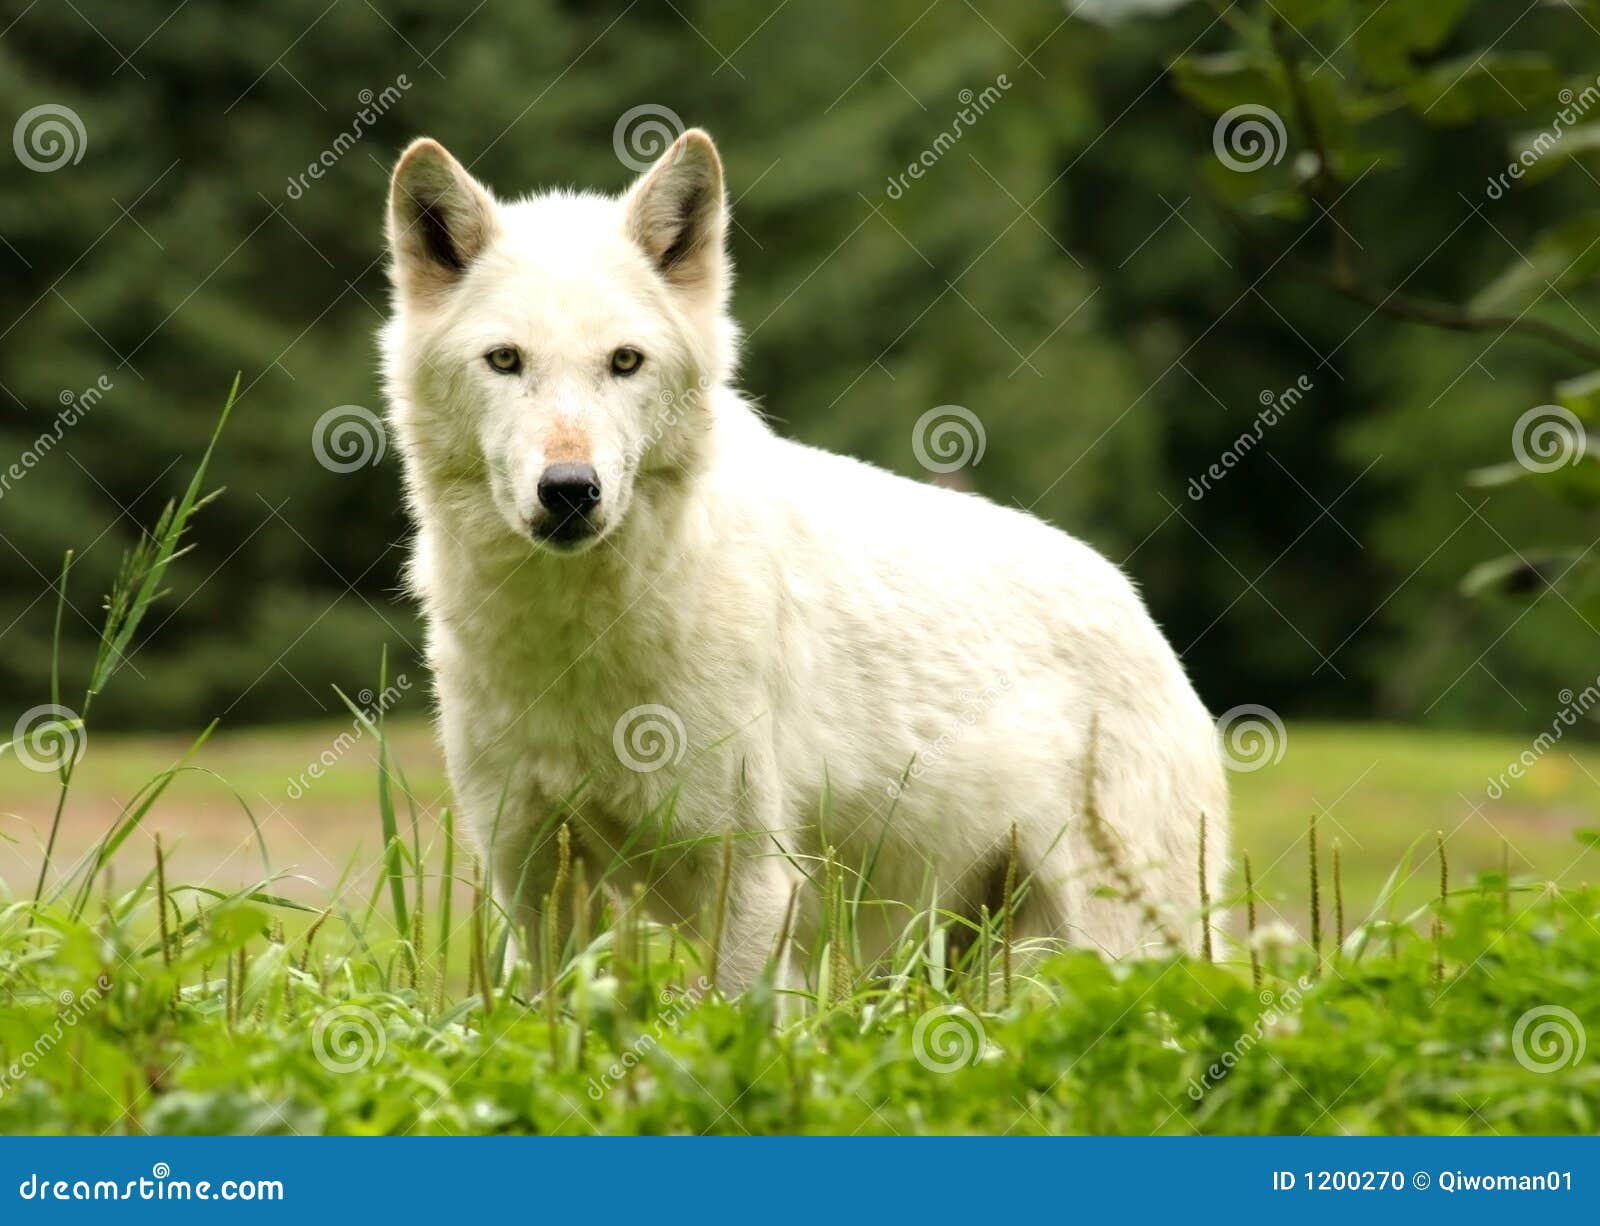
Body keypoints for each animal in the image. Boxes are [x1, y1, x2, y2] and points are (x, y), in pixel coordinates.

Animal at [380, 128, 1228, 992]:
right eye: (505, 360)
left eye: (624, 362)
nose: (570, 490)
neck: (576, 637)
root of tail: (1140, 610)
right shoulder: (530, 879)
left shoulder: (754, 881)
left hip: (1119, 945)